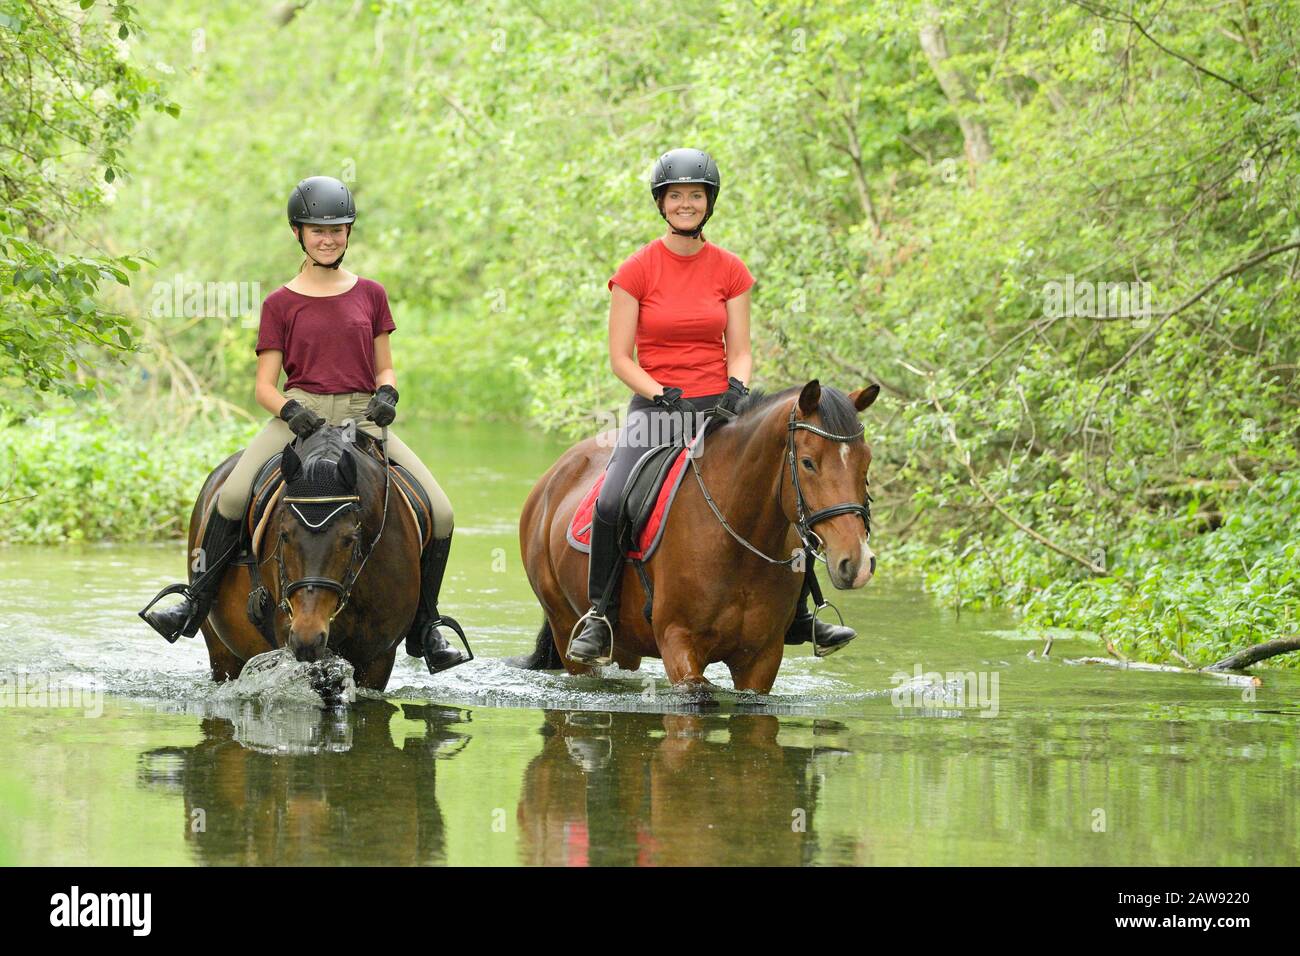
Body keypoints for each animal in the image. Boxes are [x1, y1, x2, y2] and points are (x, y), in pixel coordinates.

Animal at [517, 379, 880, 693]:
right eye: (807, 463)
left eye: (866, 462)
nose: (857, 563)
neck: (737, 541)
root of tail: (551, 480)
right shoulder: (679, 644)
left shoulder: (761, 659)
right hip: (565, 628)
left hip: (625, 645)